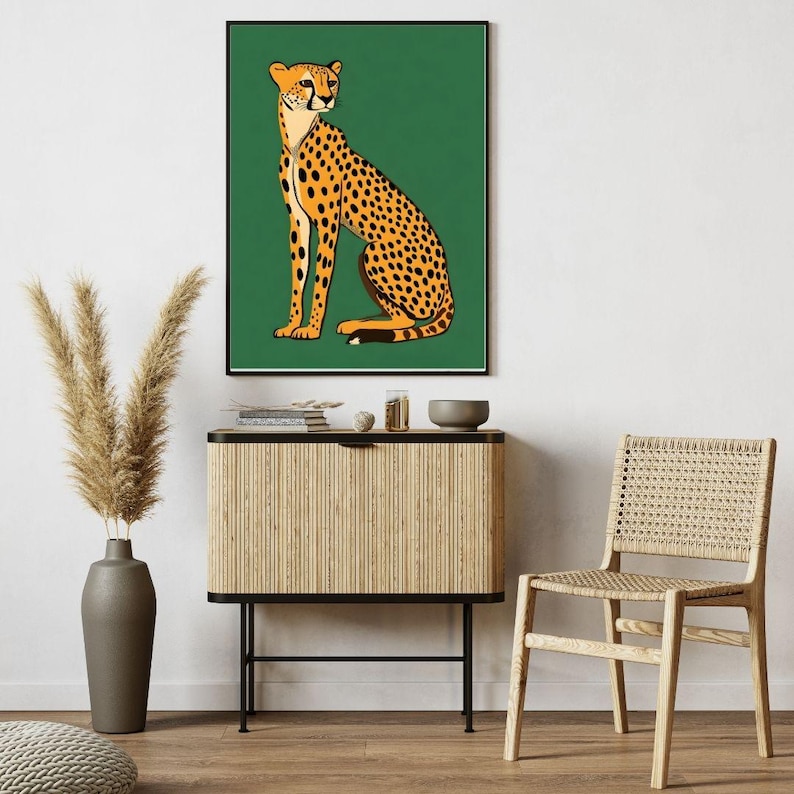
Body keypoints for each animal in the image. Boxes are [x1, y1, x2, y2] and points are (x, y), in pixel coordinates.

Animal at [268, 59, 454, 344]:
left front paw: (311, 329)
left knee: (413, 317)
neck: (298, 134)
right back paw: (356, 324)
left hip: (373, 253)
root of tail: (447, 280)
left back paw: (356, 326)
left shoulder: (328, 224)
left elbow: (321, 278)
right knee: (404, 319)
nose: (327, 98)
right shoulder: (298, 220)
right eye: (306, 82)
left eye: (332, 82)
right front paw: (292, 325)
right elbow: (299, 273)